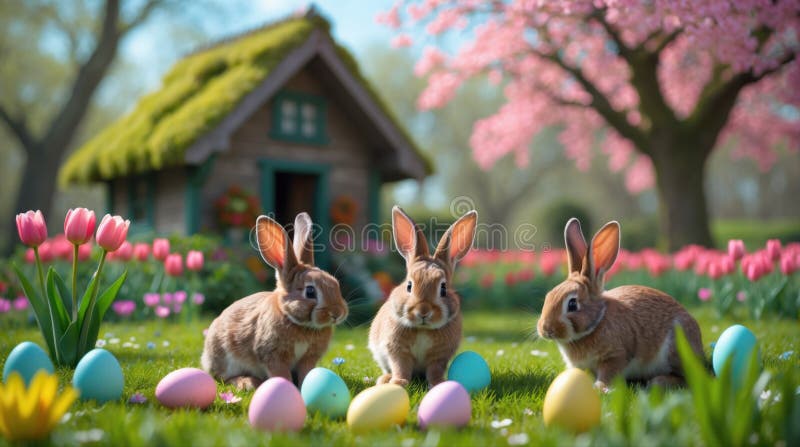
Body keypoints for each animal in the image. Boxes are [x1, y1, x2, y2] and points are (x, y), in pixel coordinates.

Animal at [201, 212, 348, 390]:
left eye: (336, 284)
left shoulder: (308, 358)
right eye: (310, 291)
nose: (337, 313)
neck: (298, 323)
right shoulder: (274, 356)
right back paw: (247, 382)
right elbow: (281, 374)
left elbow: (306, 373)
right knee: (224, 377)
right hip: (225, 357)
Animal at [368, 206, 478, 388]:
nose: (423, 311)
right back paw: (385, 379)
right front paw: (398, 383)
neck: (422, 328)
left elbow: (434, 370)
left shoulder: (439, 356)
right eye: (409, 286)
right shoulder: (398, 351)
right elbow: (401, 367)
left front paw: (438, 383)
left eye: (443, 288)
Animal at [537, 218, 704, 391]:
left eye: (572, 304)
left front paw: (600, 387)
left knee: (690, 378)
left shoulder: (615, 356)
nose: (546, 330)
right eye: (548, 296)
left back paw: (659, 382)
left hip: (677, 347)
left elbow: (608, 372)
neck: (597, 322)